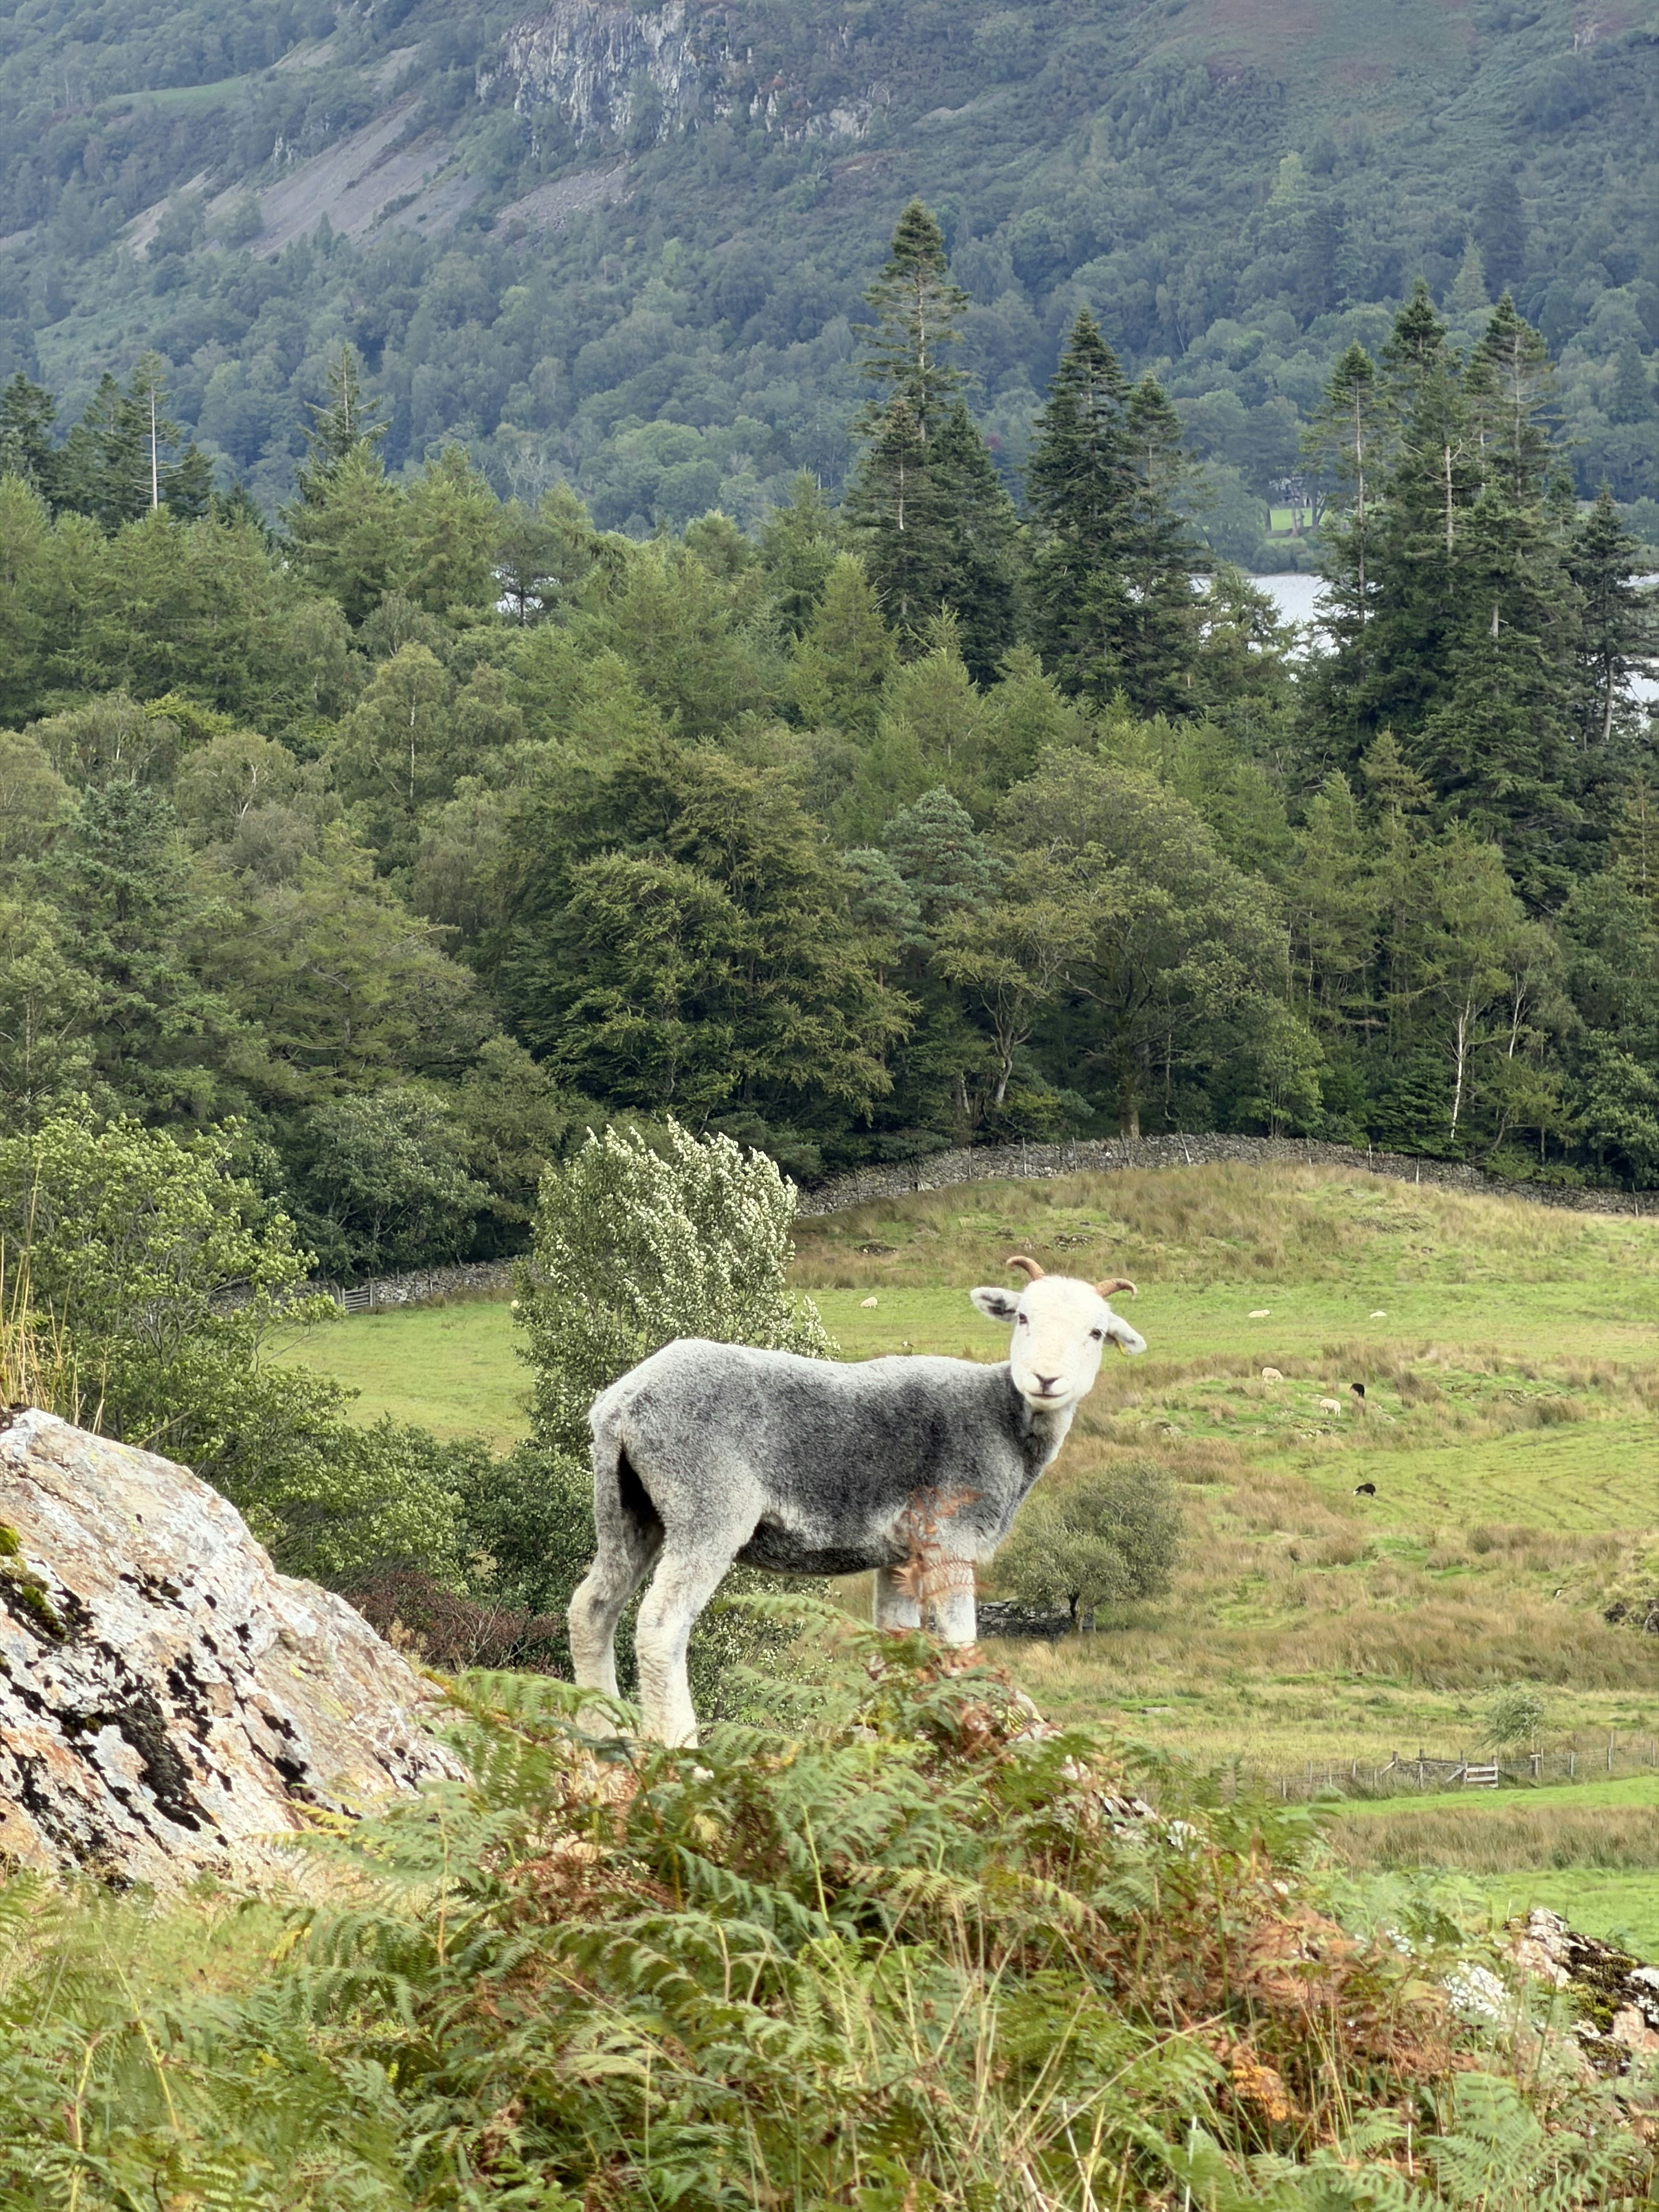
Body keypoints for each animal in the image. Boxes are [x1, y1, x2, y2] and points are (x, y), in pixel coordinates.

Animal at [567, 1255, 1148, 1745]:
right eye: (1022, 1318)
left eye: (1096, 1332)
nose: (1045, 1379)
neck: (1003, 1418)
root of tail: (621, 1403)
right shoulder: (951, 1540)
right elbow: (961, 1640)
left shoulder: (900, 1554)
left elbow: (896, 1642)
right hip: (706, 1506)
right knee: (660, 1625)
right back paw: (678, 1744)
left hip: (625, 1506)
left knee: (591, 1609)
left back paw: (601, 1730)